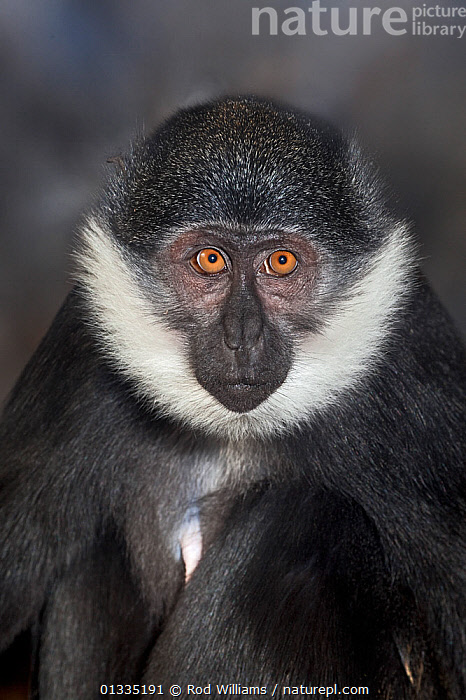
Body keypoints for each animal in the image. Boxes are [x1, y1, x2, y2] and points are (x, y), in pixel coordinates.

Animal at [0, 96, 464, 699]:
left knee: (300, 513)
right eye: (211, 260)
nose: (242, 335)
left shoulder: (420, 379)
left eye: (281, 262)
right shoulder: (76, 354)